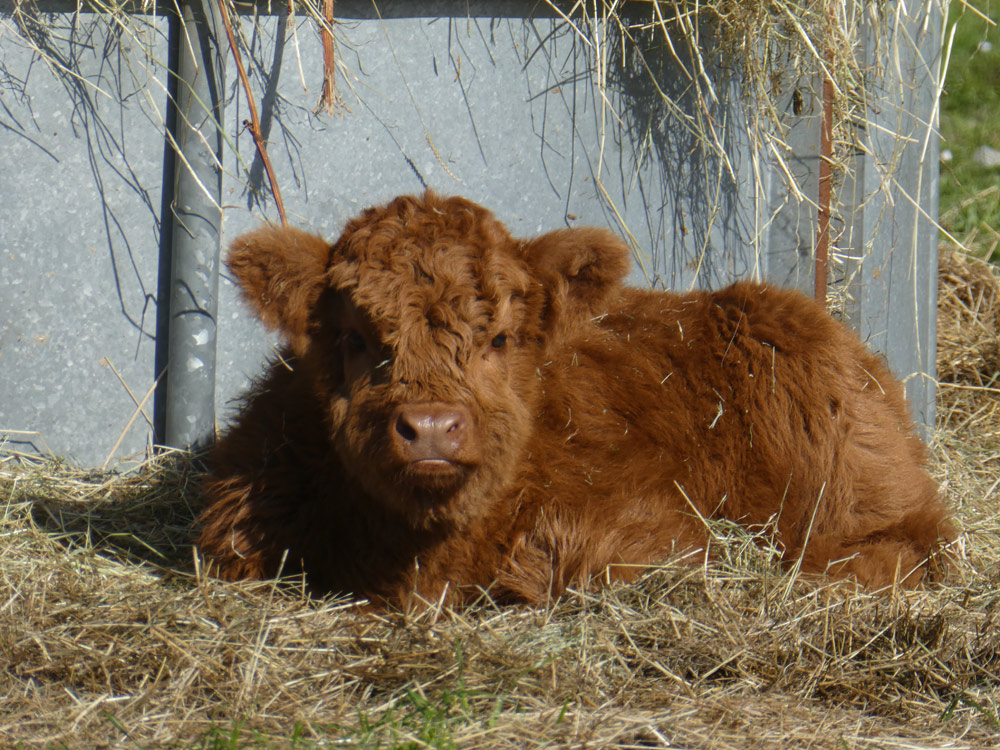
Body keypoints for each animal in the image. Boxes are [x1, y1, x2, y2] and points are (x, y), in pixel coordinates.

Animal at [196, 192, 953, 607]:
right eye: (355, 338)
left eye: (500, 338)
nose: (433, 427)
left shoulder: (649, 534)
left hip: (860, 493)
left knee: (908, 548)